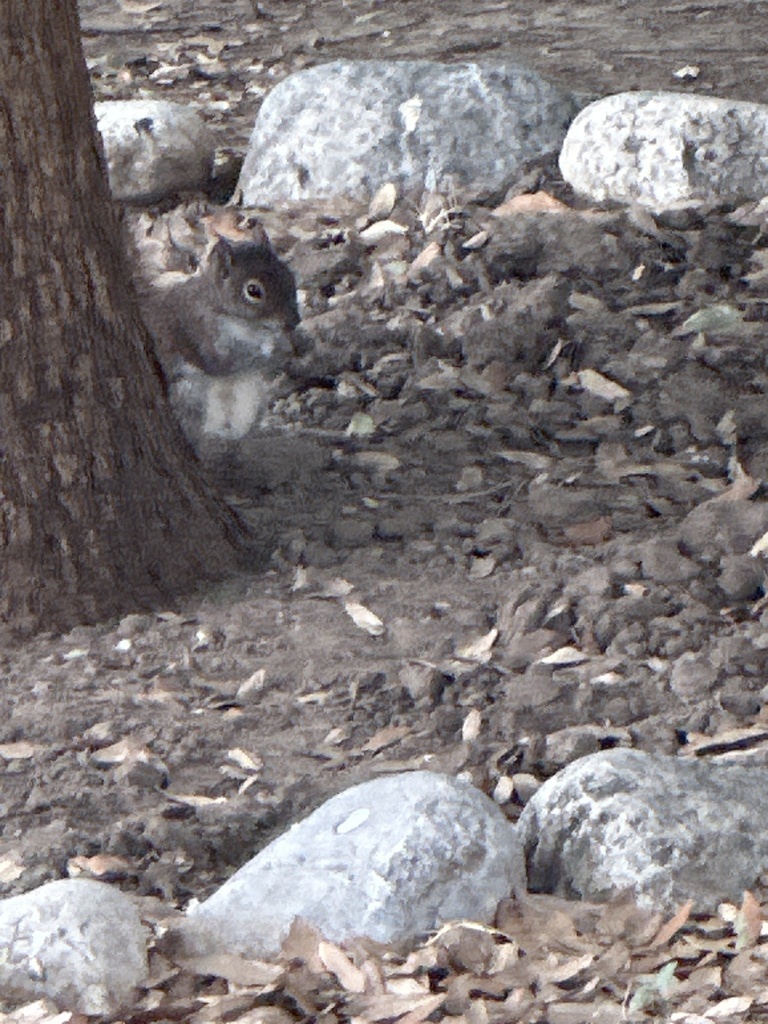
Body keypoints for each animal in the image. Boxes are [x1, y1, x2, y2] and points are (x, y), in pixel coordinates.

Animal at [135, 206, 301, 444]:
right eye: (253, 291)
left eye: (289, 277)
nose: (294, 321)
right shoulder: (201, 330)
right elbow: (223, 363)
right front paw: (279, 349)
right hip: (190, 394)